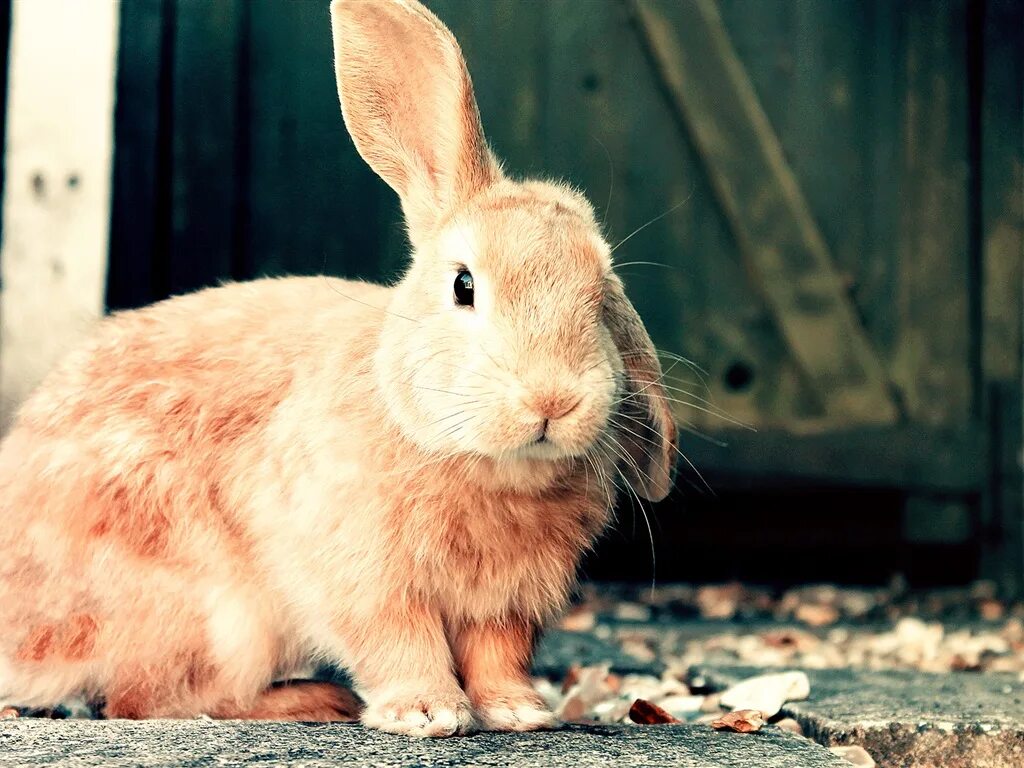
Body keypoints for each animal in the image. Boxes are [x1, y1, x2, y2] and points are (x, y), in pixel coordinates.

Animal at [0, 0, 676, 737]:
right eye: (464, 285)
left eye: (601, 289)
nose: (552, 399)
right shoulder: (363, 580)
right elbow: (398, 642)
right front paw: (427, 712)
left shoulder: (504, 606)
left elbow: (496, 656)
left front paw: (519, 712)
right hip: (214, 613)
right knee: (146, 698)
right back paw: (316, 702)